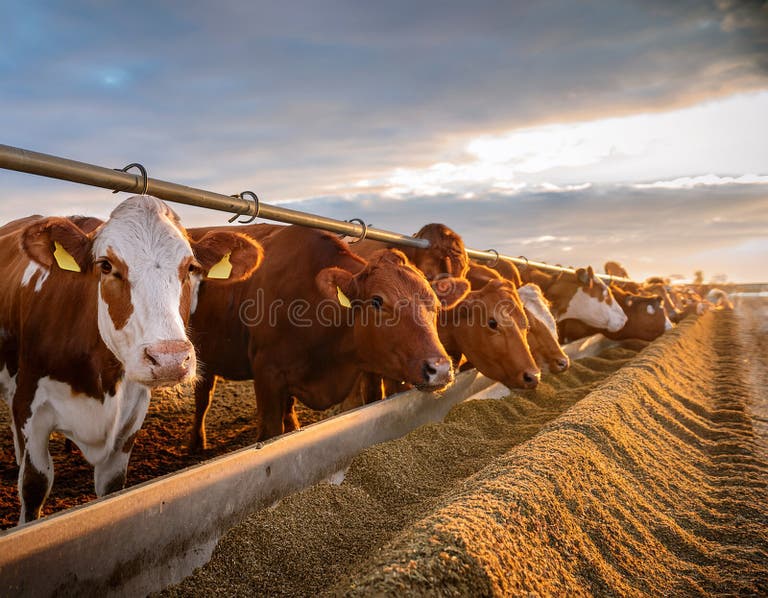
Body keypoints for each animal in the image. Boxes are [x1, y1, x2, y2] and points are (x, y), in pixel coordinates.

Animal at [0, 195, 263, 524]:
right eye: (106, 265)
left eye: (191, 267)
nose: (170, 359)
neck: (97, 381)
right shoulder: (30, 404)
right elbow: (34, 485)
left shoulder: (131, 415)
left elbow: (112, 488)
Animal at [187, 224, 470, 451]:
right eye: (377, 301)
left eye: (435, 304)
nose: (440, 369)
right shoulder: (267, 374)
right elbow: (270, 432)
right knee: (203, 398)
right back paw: (196, 444)